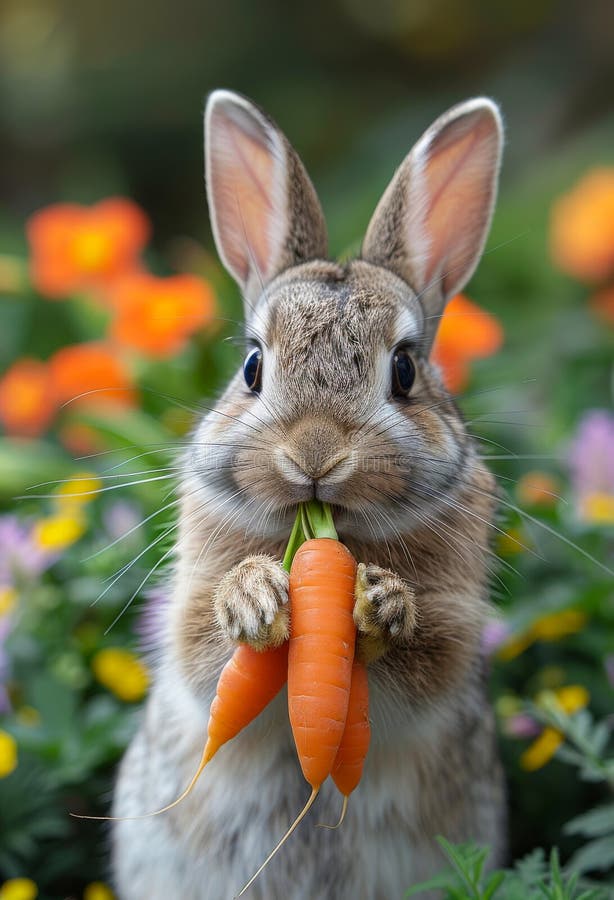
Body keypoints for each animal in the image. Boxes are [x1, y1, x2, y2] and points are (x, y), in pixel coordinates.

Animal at [111, 89, 507, 900]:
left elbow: (419, 669)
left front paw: (380, 606)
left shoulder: (451, 645)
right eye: (253, 367)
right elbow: (208, 659)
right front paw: (254, 599)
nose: (315, 455)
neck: (327, 535)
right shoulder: (192, 632)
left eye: (405, 370)